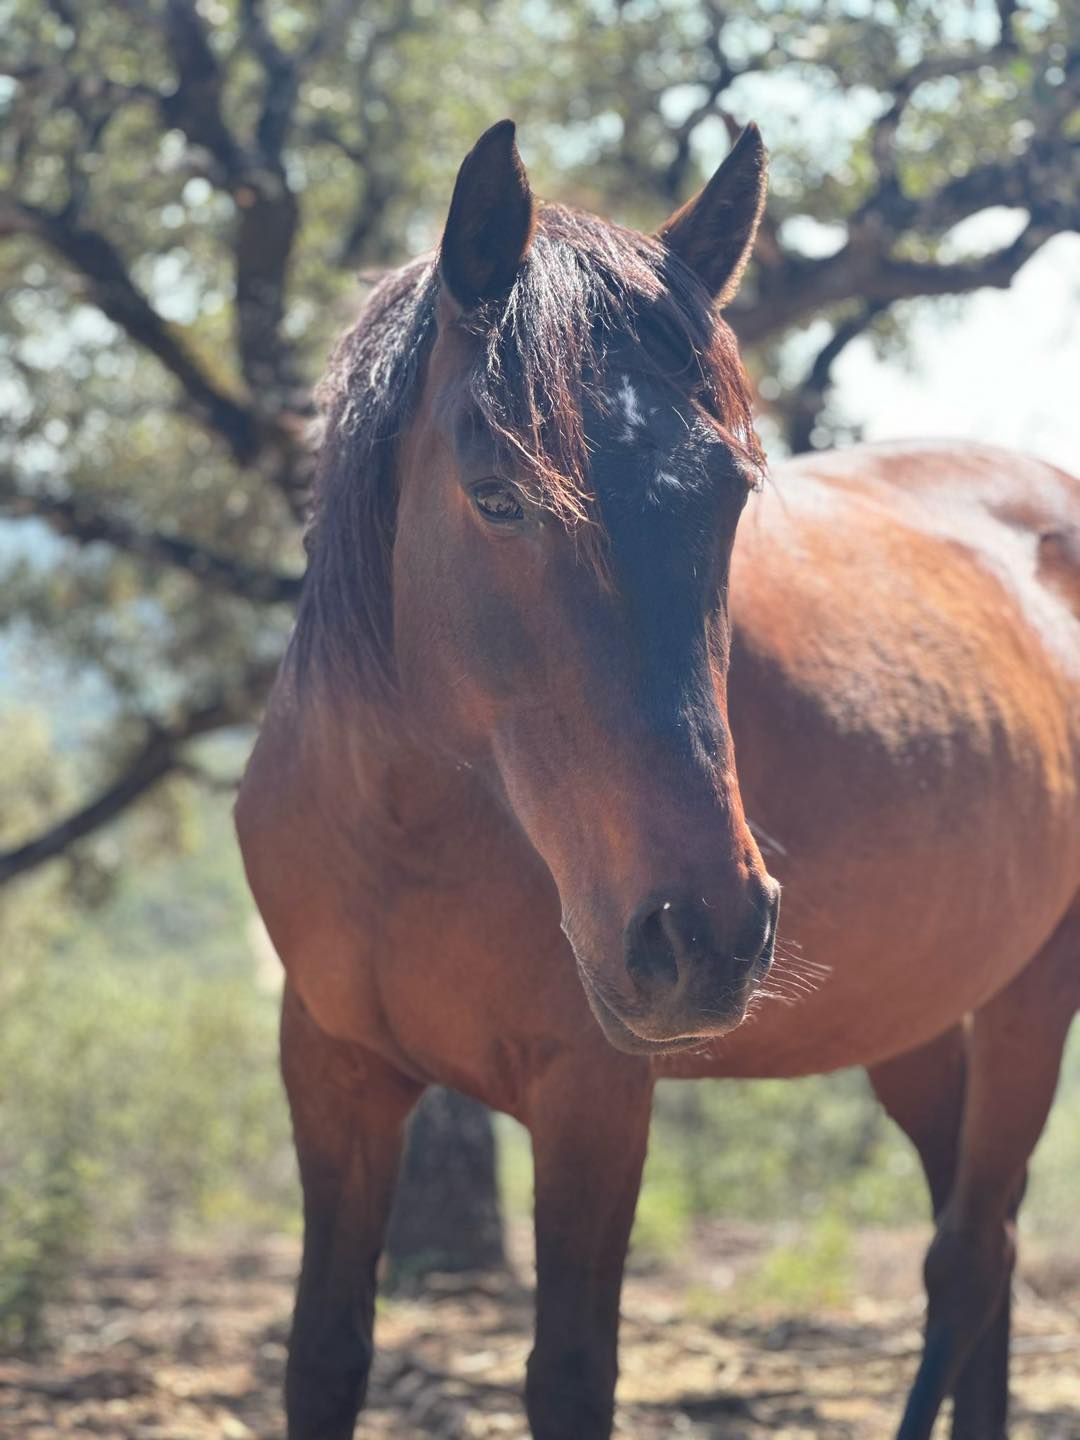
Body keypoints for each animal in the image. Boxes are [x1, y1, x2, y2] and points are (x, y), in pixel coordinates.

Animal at [235, 119, 1080, 1440]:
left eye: (732, 495)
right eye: (499, 496)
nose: (707, 934)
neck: (409, 838)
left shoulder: (593, 1097)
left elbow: (572, 1373)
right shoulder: (332, 1069)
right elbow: (323, 1355)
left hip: (1034, 992)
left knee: (970, 1252)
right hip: (919, 1020)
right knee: (976, 1245)